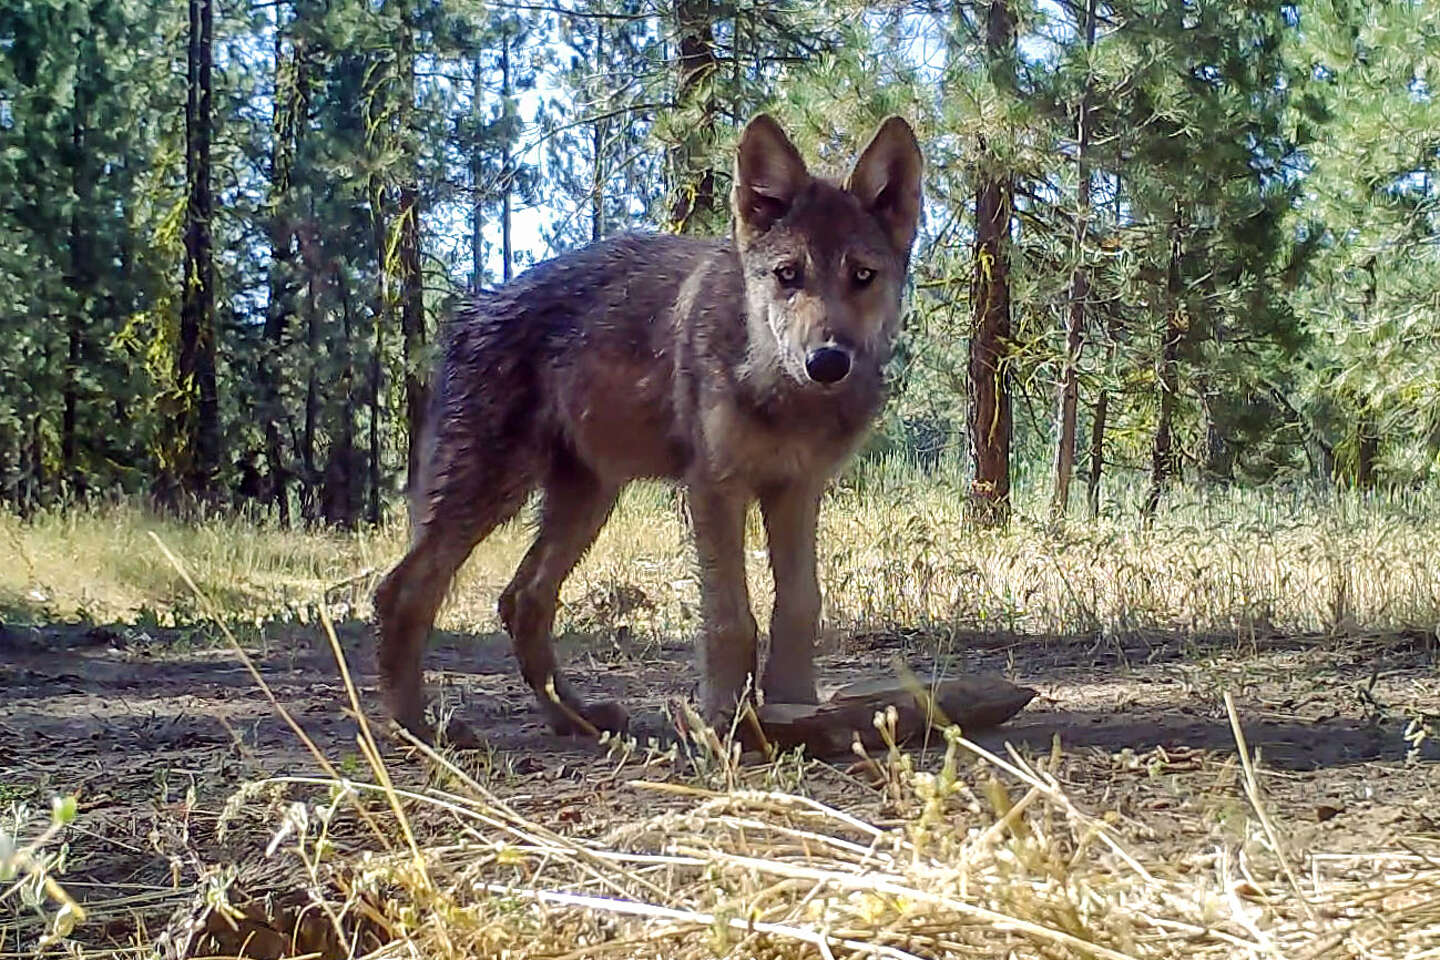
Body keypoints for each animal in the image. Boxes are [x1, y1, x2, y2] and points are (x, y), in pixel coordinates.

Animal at [373, 113, 924, 745]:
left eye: (862, 276)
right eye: (789, 275)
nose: (828, 361)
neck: (782, 394)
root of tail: (470, 308)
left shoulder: (798, 490)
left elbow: (798, 607)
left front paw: (798, 712)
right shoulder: (714, 488)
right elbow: (730, 618)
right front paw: (724, 724)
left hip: (588, 499)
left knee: (522, 600)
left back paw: (576, 718)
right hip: (490, 493)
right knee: (403, 592)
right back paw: (415, 726)